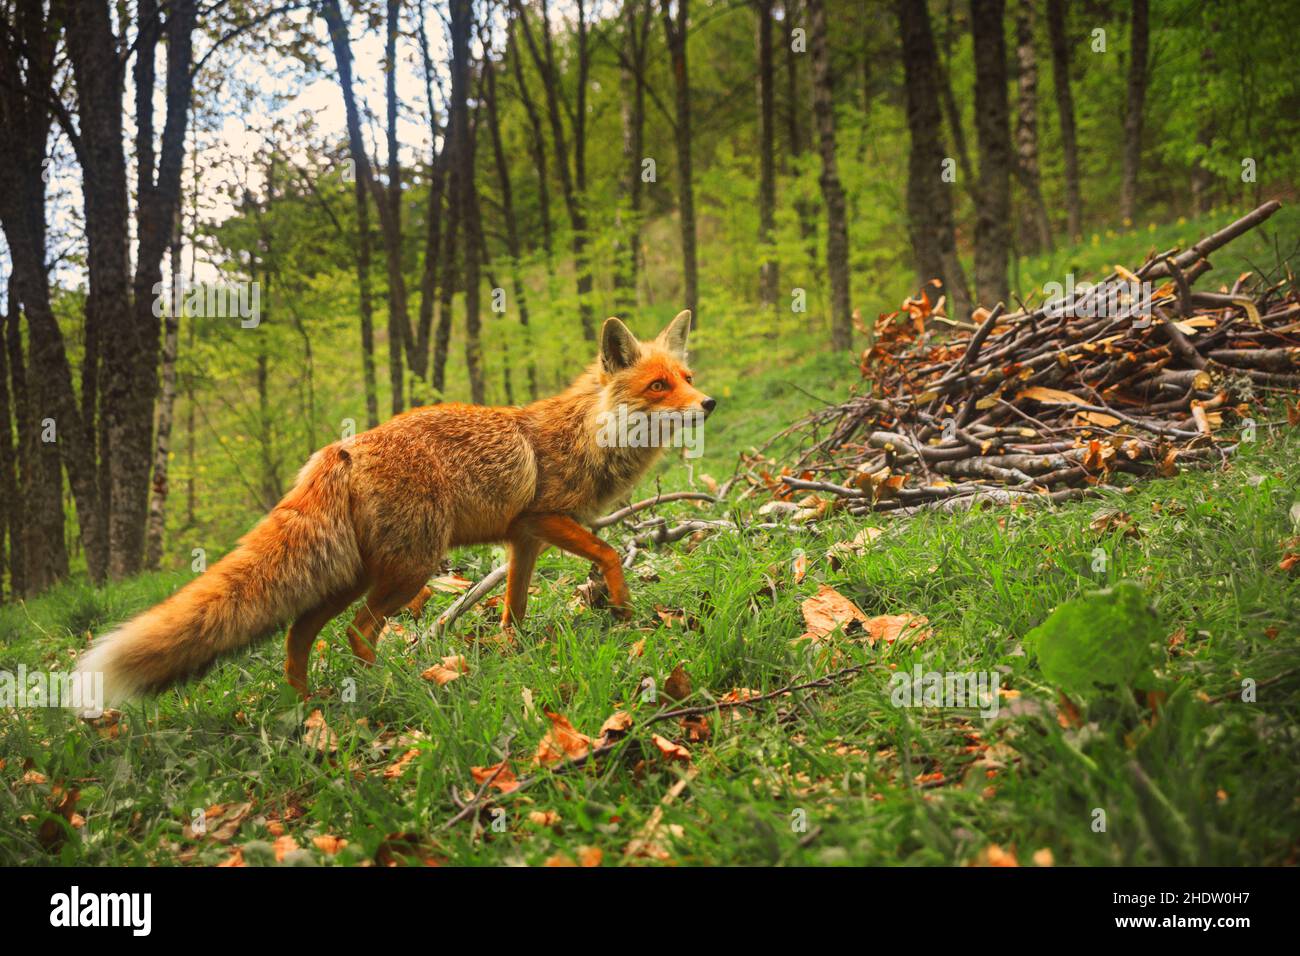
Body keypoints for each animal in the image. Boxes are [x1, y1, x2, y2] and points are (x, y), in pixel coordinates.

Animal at [71, 311, 713, 712]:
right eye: (659, 386)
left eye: (686, 377)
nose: (708, 403)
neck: (587, 434)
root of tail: (341, 449)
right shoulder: (546, 518)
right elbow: (609, 554)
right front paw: (624, 610)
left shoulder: (523, 538)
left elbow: (514, 607)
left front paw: (518, 652)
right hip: (409, 571)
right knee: (356, 632)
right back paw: (392, 682)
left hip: (351, 576)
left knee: (299, 634)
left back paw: (308, 705)